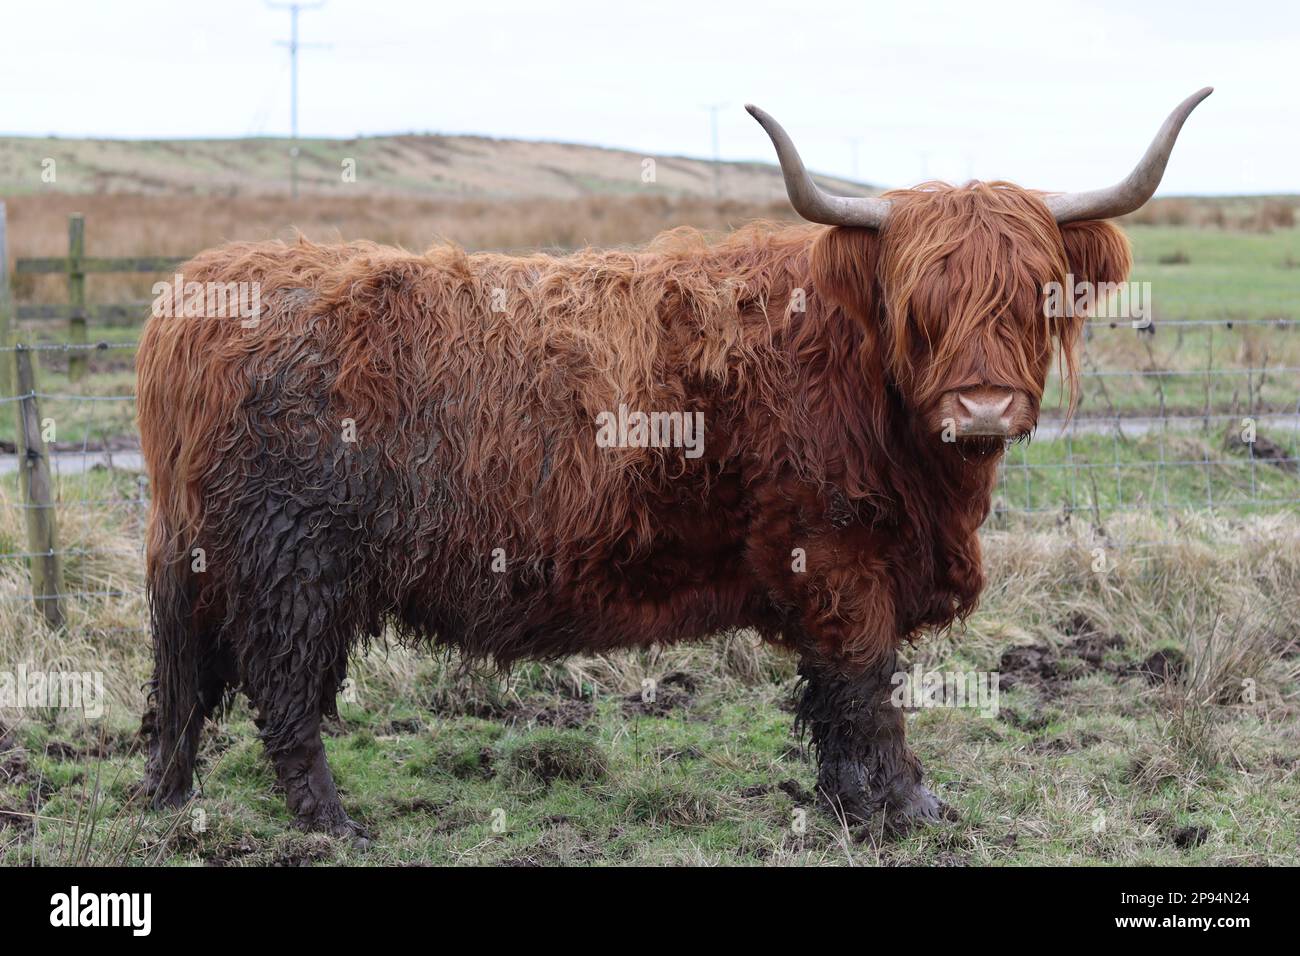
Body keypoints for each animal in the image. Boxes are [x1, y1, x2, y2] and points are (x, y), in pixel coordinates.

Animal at [137, 89, 1210, 838]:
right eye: (922, 305)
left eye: (1033, 295)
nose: (981, 406)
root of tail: (203, 291)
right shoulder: (838, 553)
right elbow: (866, 685)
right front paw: (907, 809)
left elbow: (836, 697)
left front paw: (850, 806)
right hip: (294, 563)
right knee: (281, 689)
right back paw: (332, 824)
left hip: (204, 553)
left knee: (183, 672)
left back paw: (165, 796)